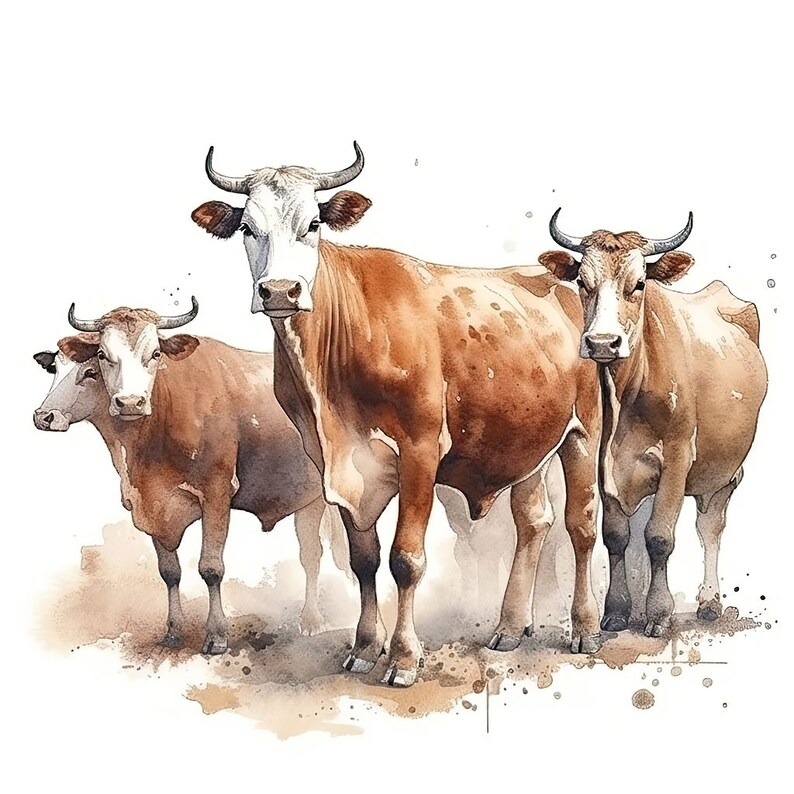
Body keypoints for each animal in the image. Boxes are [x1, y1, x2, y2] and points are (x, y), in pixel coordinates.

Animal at [33, 300, 352, 651]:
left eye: (155, 353)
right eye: (102, 355)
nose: (45, 416)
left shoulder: (216, 494)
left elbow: (211, 568)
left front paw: (217, 635)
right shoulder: (152, 505)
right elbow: (169, 572)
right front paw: (173, 630)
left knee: (312, 555)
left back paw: (311, 621)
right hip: (306, 498)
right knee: (310, 552)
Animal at [191, 144, 603, 686]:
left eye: (314, 222)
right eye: (246, 227)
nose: (279, 291)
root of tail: (558, 283)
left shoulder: (421, 450)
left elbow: (406, 559)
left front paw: (404, 658)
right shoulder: (337, 463)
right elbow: (364, 560)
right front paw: (366, 647)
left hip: (584, 431)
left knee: (582, 525)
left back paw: (586, 629)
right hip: (527, 441)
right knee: (534, 521)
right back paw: (510, 628)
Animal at [538, 210, 767, 636]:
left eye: (639, 283)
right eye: (582, 282)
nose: (602, 342)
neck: (628, 395)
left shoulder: (678, 457)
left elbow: (659, 538)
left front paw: (658, 614)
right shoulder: (603, 462)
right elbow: (616, 537)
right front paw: (616, 611)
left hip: (725, 470)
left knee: (710, 526)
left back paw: (710, 602)